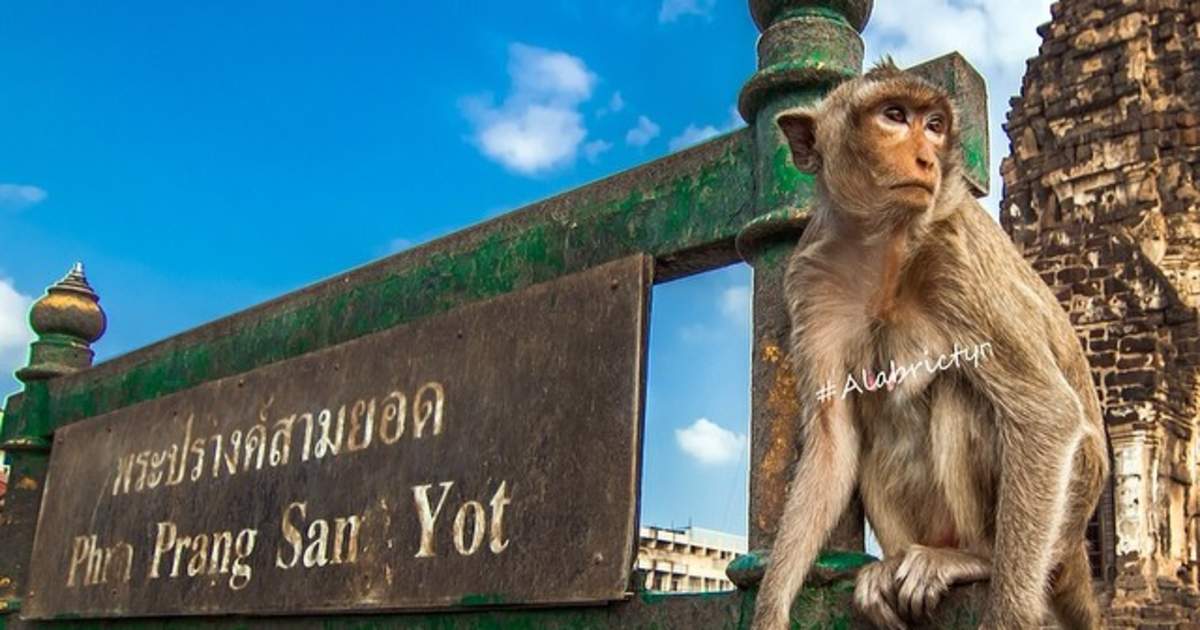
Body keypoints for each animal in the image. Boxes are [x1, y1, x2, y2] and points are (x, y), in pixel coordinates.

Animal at [750, 59, 1109, 630]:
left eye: (935, 125)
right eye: (894, 116)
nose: (926, 159)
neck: (885, 244)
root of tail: (1076, 548)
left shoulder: (956, 260)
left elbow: (1046, 412)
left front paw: (1007, 615)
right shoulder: (810, 279)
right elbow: (832, 438)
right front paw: (768, 610)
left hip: (1058, 526)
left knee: (960, 391)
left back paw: (975, 559)